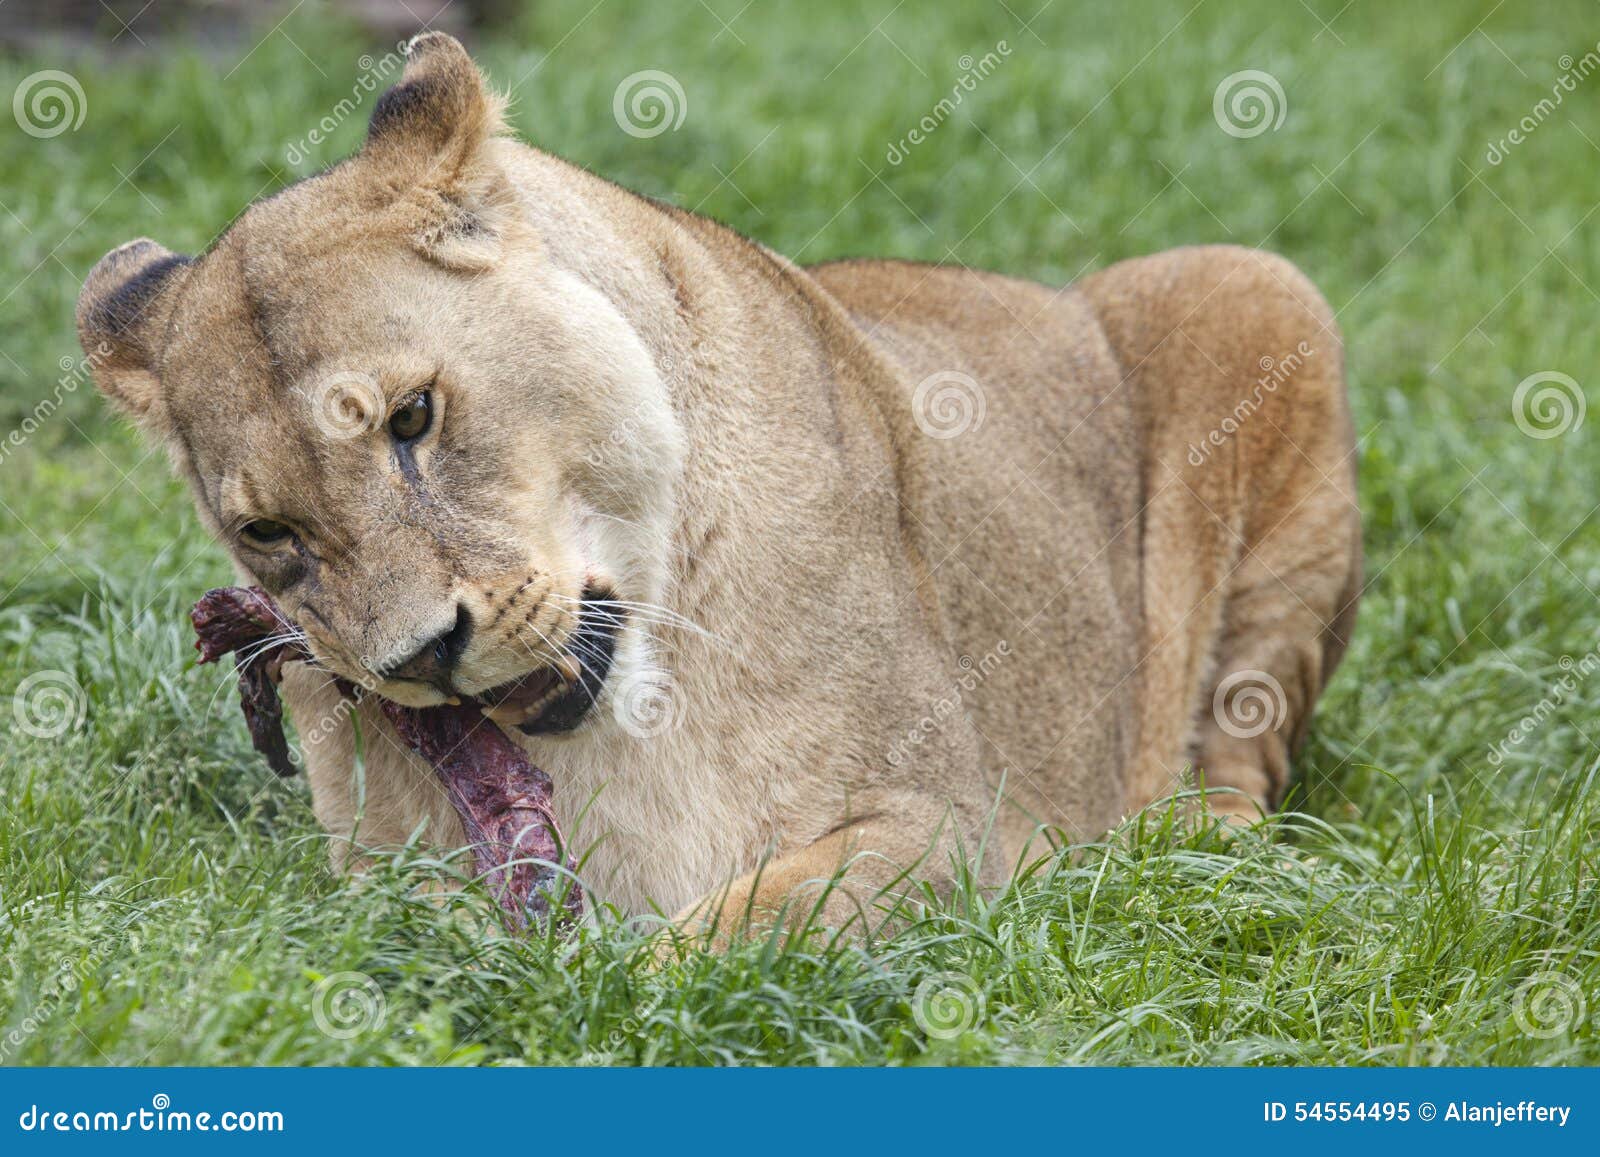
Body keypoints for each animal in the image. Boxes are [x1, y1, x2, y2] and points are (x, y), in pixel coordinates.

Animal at [77, 33, 1360, 938]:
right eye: (268, 530)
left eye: (414, 417)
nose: (419, 660)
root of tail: (1050, 292)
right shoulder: (385, 881)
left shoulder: (951, 826)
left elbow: (728, 933)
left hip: (1257, 291)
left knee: (1241, 778)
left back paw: (1172, 853)